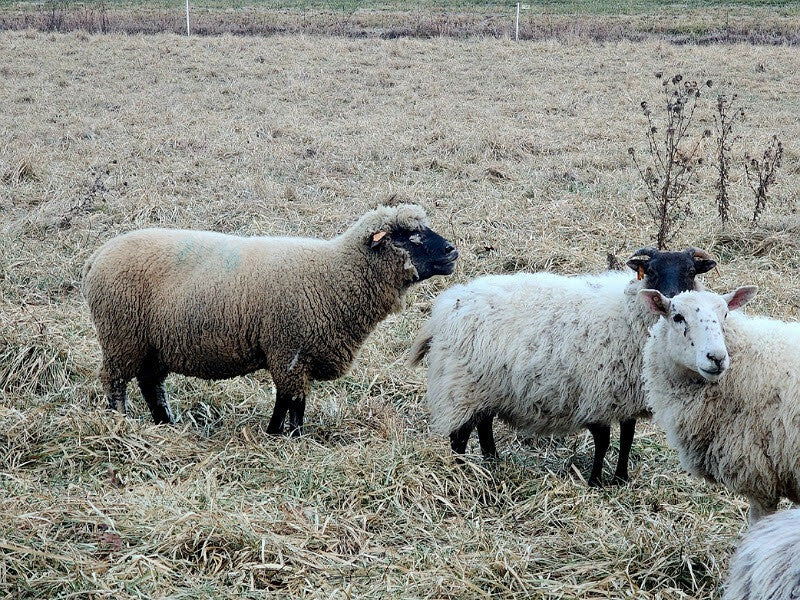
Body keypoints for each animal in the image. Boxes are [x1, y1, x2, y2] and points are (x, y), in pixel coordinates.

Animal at [83, 203, 459, 434]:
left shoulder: (298, 355)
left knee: (150, 384)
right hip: (121, 336)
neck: (335, 274)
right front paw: (281, 434)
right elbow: (288, 399)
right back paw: (119, 421)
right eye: (408, 236)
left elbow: (295, 401)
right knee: (115, 382)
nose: (452, 251)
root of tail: (95, 257)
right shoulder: (288, 351)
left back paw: (165, 423)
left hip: (153, 343)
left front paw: (289, 433)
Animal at [409, 247, 716, 486]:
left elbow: (627, 437)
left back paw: (492, 462)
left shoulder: (625, 393)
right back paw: (463, 472)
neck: (628, 313)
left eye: (691, 271)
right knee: (458, 436)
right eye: (651, 271)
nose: (671, 300)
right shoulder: (596, 393)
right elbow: (604, 440)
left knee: (483, 424)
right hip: (460, 384)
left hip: (487, 386)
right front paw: (595, 482)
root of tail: (444, 307)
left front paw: (620, 478)